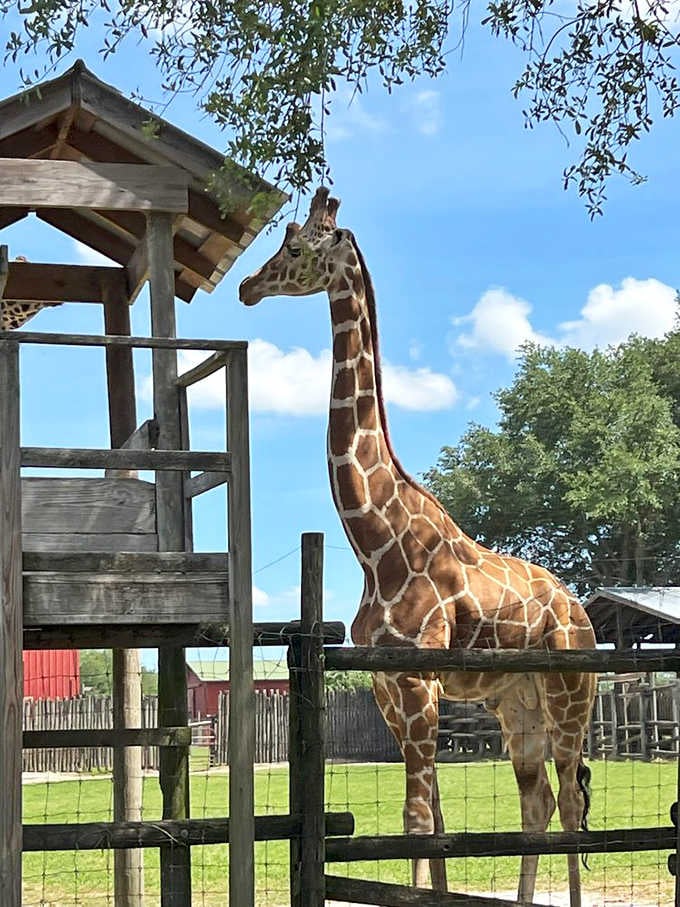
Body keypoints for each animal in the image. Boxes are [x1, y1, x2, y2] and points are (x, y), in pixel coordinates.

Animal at [240, 188, 597, 907]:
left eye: (294, 244)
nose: (247, 286)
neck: (376, 543)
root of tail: (583, 615)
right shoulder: (388, 685)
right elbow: (433, 819)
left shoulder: (418, 682)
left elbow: (415, 818)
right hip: (517, 707)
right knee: (540, 800)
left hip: (569, 693)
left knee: (571, 801)